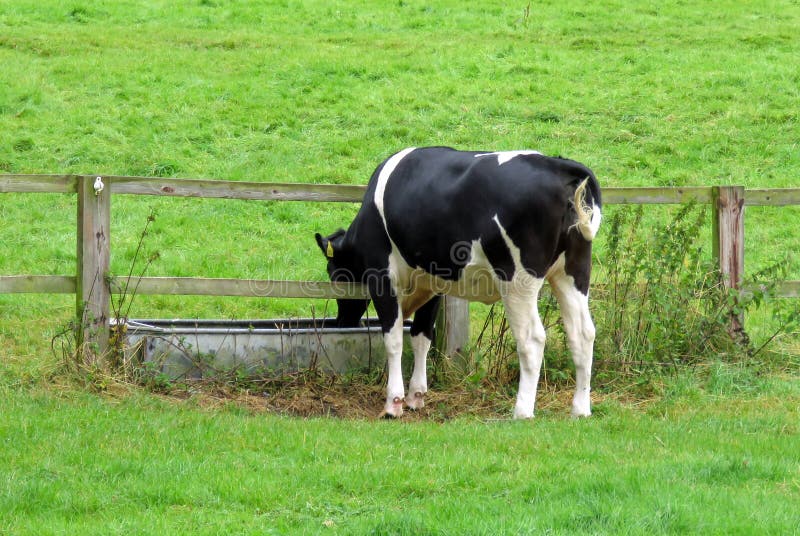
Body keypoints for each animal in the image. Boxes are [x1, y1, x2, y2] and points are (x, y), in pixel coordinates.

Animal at [315, 147, 601, 419]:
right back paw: (580, 409)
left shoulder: (382, 276)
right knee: (583, 333)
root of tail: (556, 164)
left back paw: (522, 412)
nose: (342, 322)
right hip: (573, 271)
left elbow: (393, 338)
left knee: (532, 339)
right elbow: (421, 336)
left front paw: (393, 403)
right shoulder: (431, 283)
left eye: (334, 273)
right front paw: (415, 397)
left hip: (518, 280)